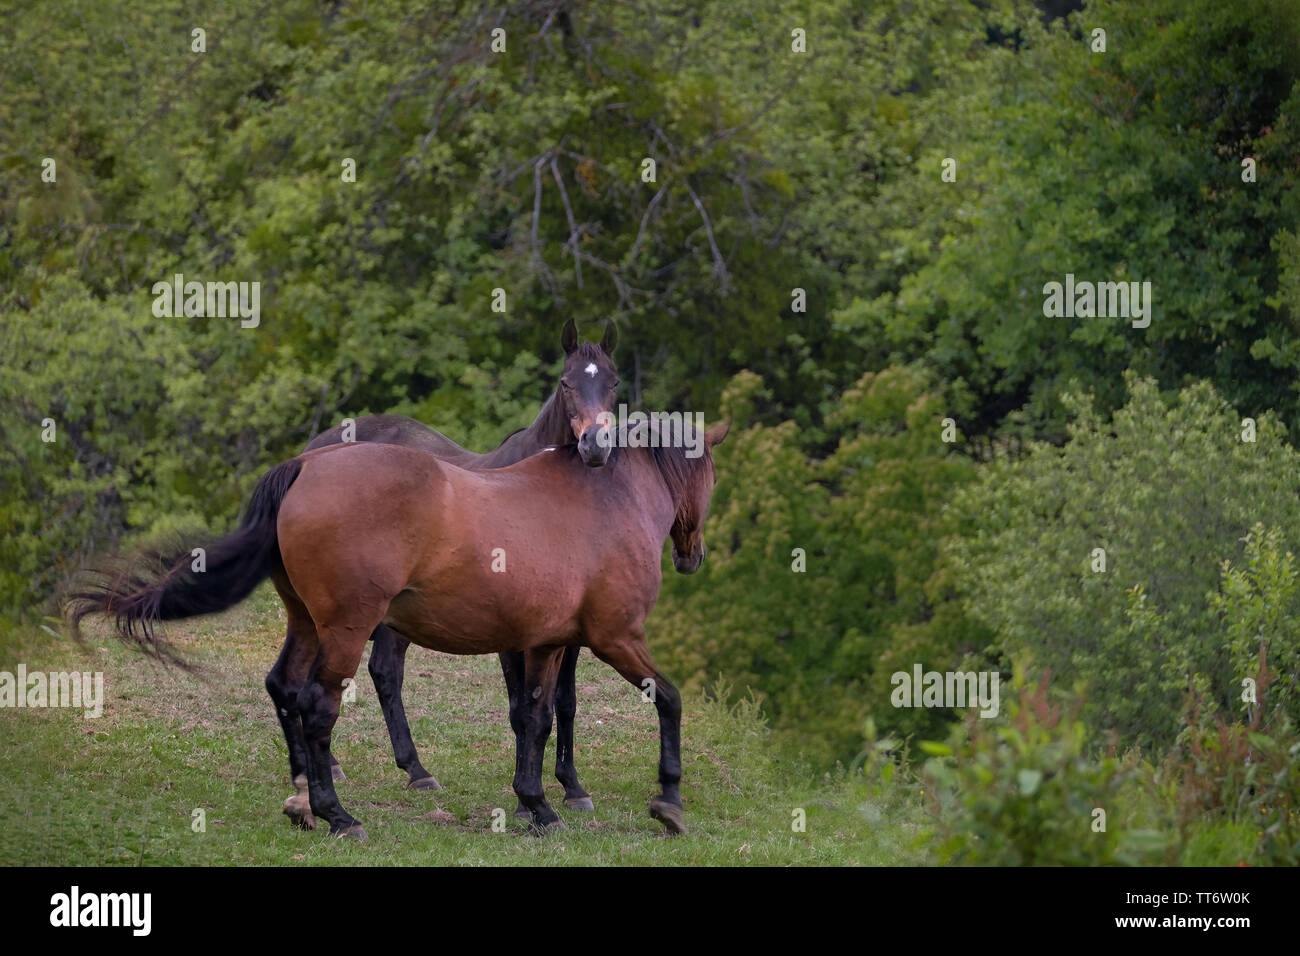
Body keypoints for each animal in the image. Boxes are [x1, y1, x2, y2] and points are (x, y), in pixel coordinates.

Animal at [70, 420, 727, 838]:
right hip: (347, 629)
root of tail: (305, 465)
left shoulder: (544, 644)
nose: (692, 554)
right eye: (711, 476)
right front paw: (669, 799)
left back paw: (305, 797)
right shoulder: (616, 639)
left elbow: (536, 719)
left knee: (285, 687)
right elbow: (668, 701)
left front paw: (537, 805)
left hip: (307, 624)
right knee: (317, 706)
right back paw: (338, 815)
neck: (602, 503)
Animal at [290, 319, 619, 825]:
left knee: (380, 671)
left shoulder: (568, 632)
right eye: (566, 383)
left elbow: (564, 702)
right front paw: (527, 802)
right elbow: (520, 706)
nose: (595, 448)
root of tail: (313, 449)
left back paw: (412, 770)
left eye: (613, 383)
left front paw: (571, 788)